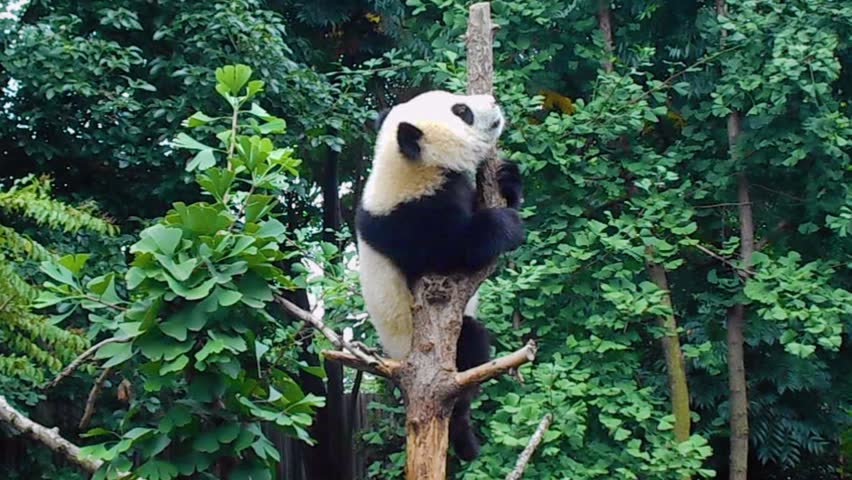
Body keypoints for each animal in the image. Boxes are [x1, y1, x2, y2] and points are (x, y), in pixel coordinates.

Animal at [355, 90, 524, 461]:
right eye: (461, 111)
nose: (493, 101)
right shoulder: (406, 218)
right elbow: (451, 250)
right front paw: (505, 225)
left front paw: (509, 178)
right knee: (471, 341)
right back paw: (462, 426)